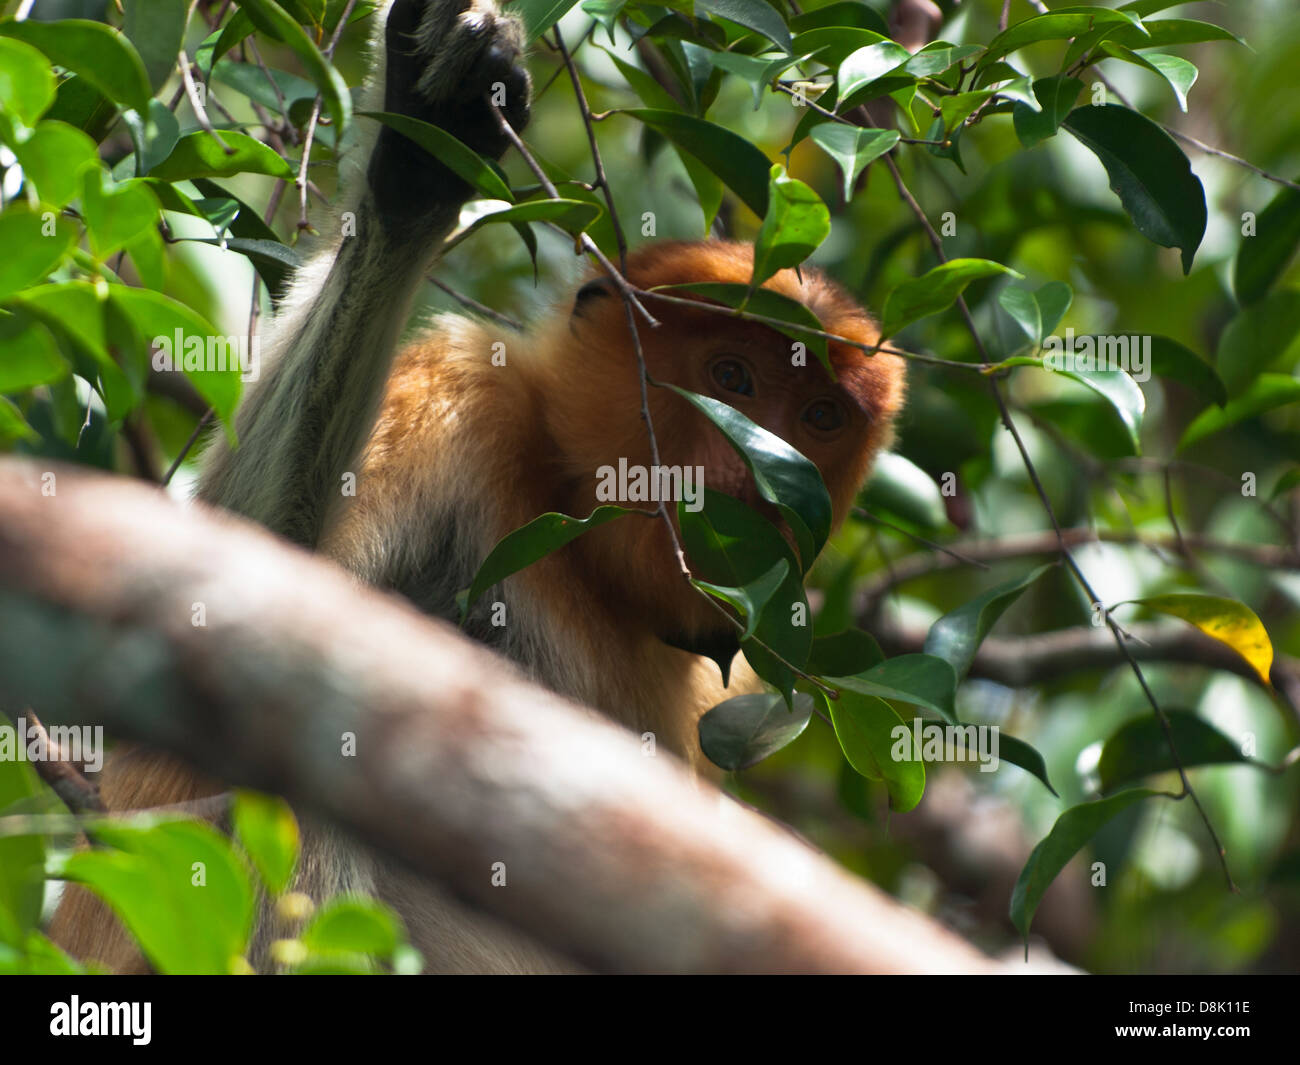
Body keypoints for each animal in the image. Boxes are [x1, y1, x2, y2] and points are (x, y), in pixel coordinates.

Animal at [48, 0, 905, 973]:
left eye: (822, 416)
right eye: (732, 376)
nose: (763, 480)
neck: (571, 517)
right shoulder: (457, 402)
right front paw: (423, 149)